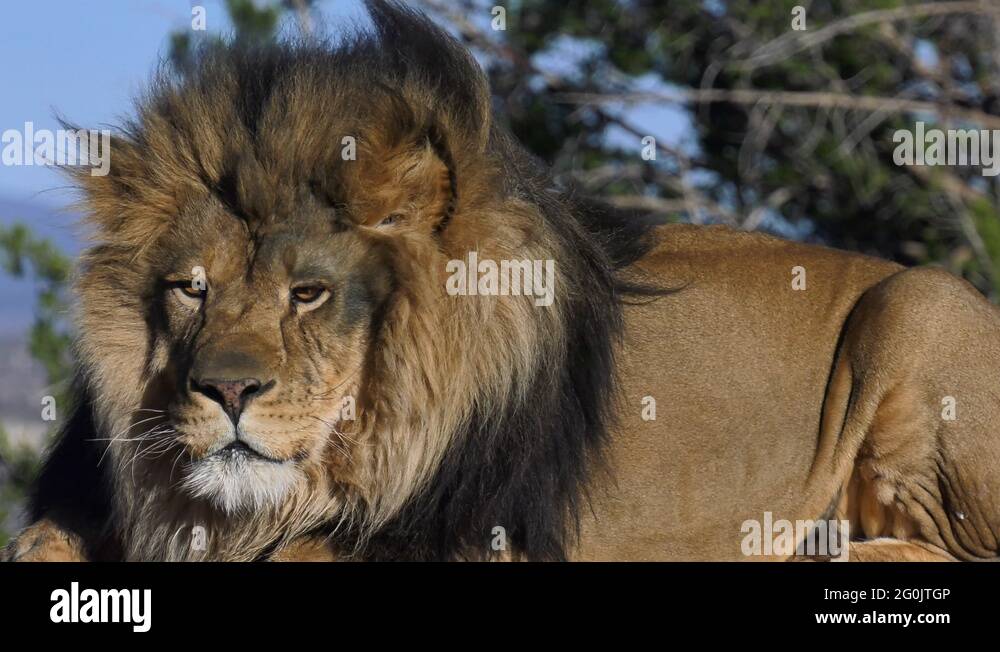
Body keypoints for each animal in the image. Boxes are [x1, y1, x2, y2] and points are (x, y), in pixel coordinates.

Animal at [5, 1, 1000, 562]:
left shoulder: (483, 539)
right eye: (192, 289)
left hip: (917, 306)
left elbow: (304, 555)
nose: (227, 390)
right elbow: (38, 542)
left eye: (309, 293)